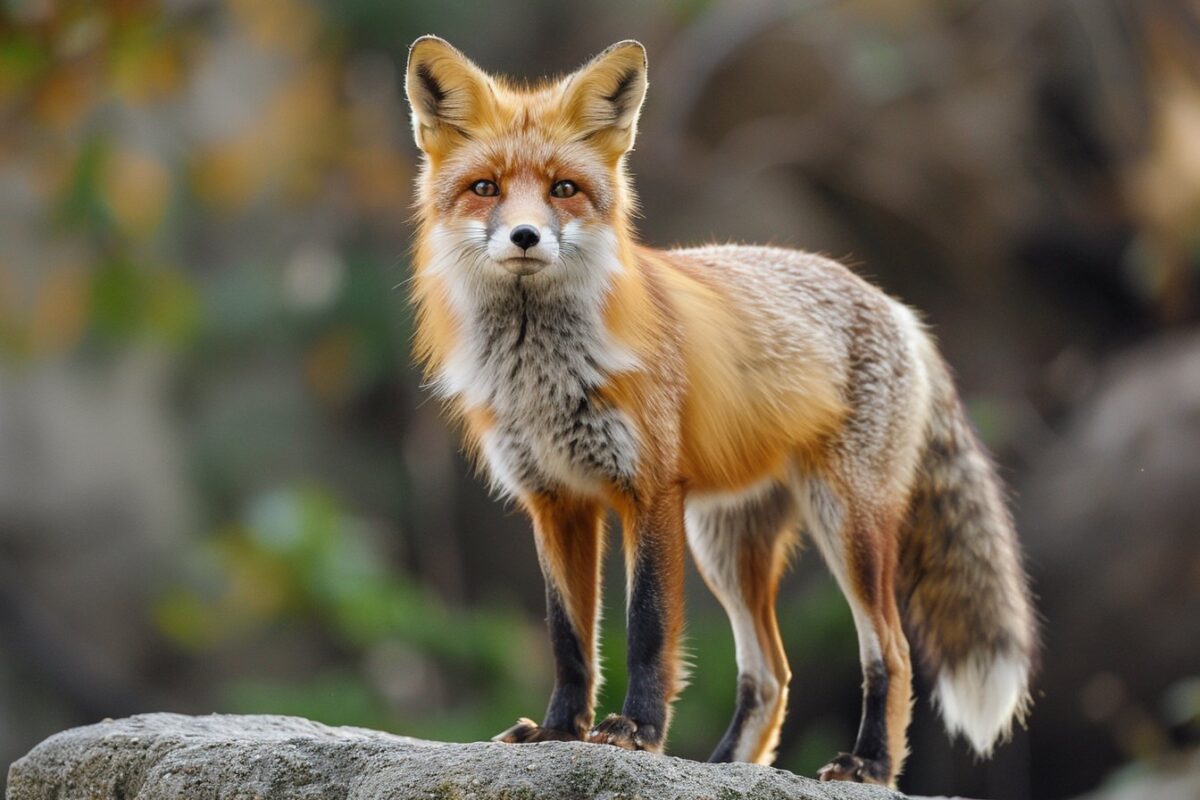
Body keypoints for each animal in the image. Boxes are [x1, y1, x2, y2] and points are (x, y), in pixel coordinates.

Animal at [402, 35, 1037, 787]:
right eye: (485, 188)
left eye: (563, 189)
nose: (526, 235)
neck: (542, 376)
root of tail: (897, 307)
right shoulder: (555, 501)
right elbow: (568, 639)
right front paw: (560, 731)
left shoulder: (649, 490)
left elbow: (647, 628)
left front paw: (637, 732)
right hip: (727, 547)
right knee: (771, 675)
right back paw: (729, 767)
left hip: (845, 523)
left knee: (892, 649)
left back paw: (870, 765)